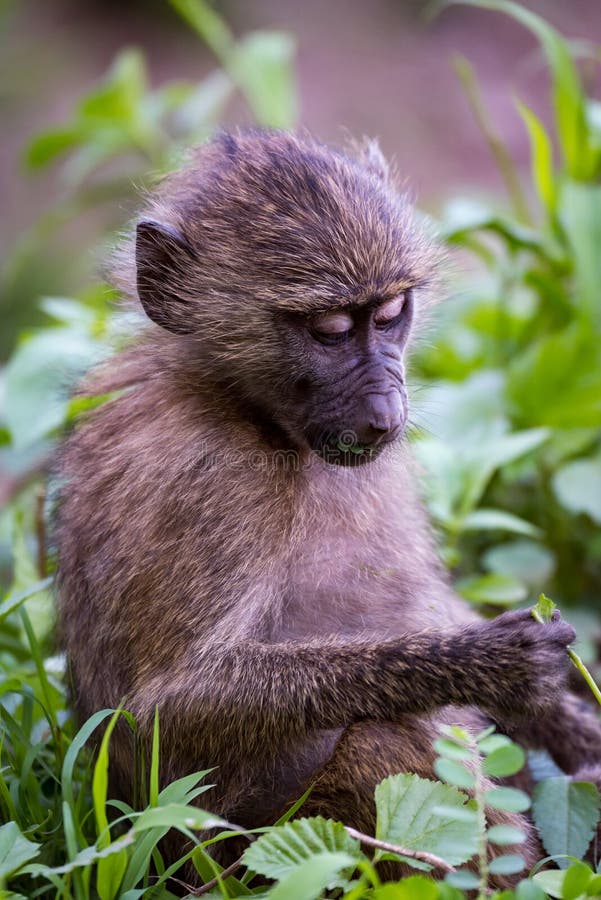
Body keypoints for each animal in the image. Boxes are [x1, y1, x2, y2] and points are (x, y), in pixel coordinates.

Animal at [54, 131, 601, 886]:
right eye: (331, 329)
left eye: (391, 315)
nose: (387, 414)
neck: (247, 409)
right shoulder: (209, 481)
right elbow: (168, 705)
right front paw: (491, 663)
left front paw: (569, 722)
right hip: (245, 857)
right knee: (390, 738)